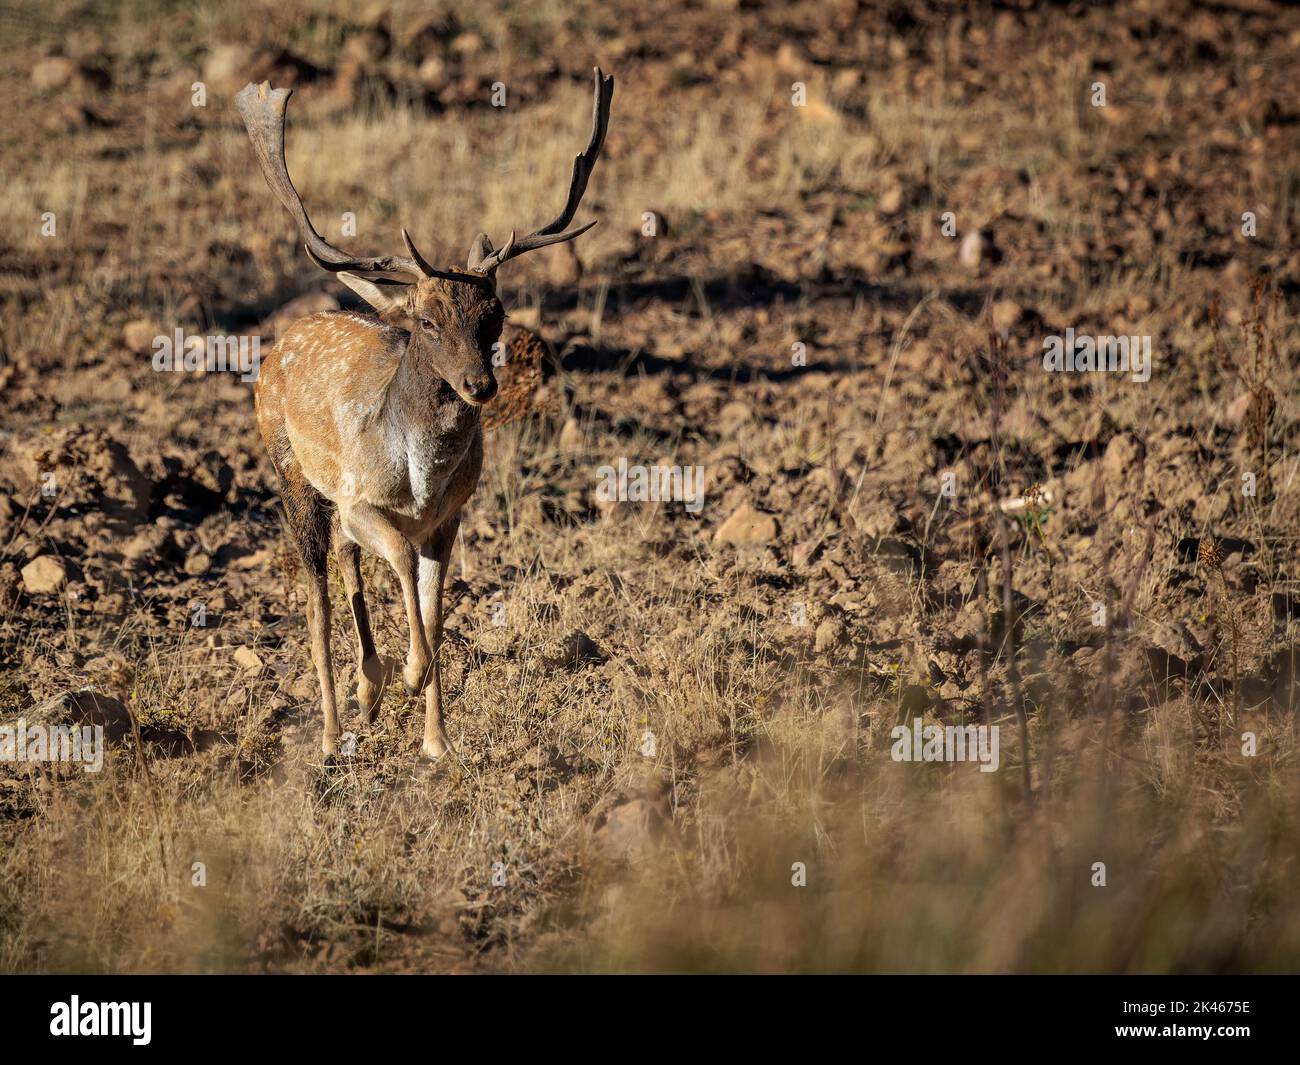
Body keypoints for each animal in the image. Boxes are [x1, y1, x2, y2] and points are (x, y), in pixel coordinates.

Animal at [236, 69, 613, 761]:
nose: (480, 385)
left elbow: (436, 610)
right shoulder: (364, 501)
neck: (419, 480)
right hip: (293, 476)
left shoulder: (448, 516)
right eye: (428, 321)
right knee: (317, 591)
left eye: (496, 315)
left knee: (348, 561)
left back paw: (369, 688)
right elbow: (405, 569)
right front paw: (411, 676)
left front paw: (437, 740)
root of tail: (283, 340)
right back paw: (330, 732)